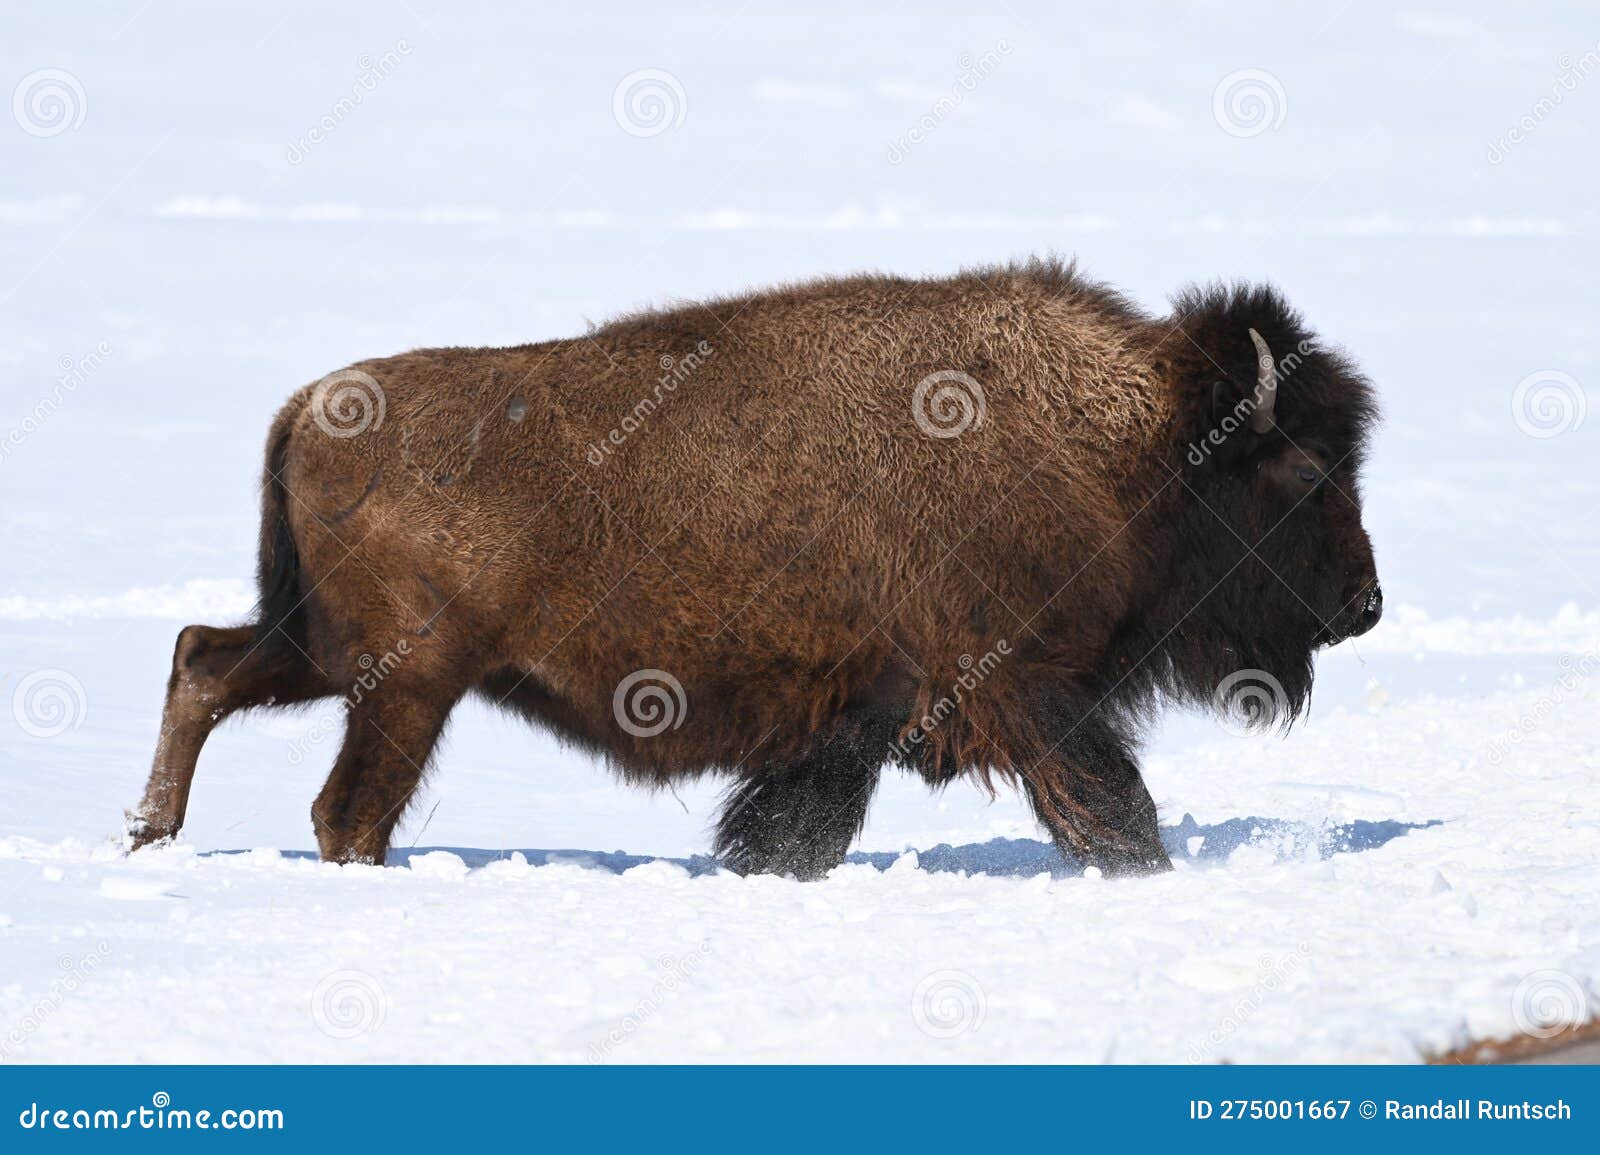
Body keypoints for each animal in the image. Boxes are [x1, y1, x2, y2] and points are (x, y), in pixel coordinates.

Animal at [129, 258, 1381, 877]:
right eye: (1307, 470)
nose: (1366, 604)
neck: (1123, 438)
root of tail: (309, 407)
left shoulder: (854, 722)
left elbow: (794, 832)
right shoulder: (1030, 694)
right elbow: (1113, 810)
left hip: (322, 649)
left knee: (201, 663)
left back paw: (147, 837)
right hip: (405, 680)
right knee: (344, 807)